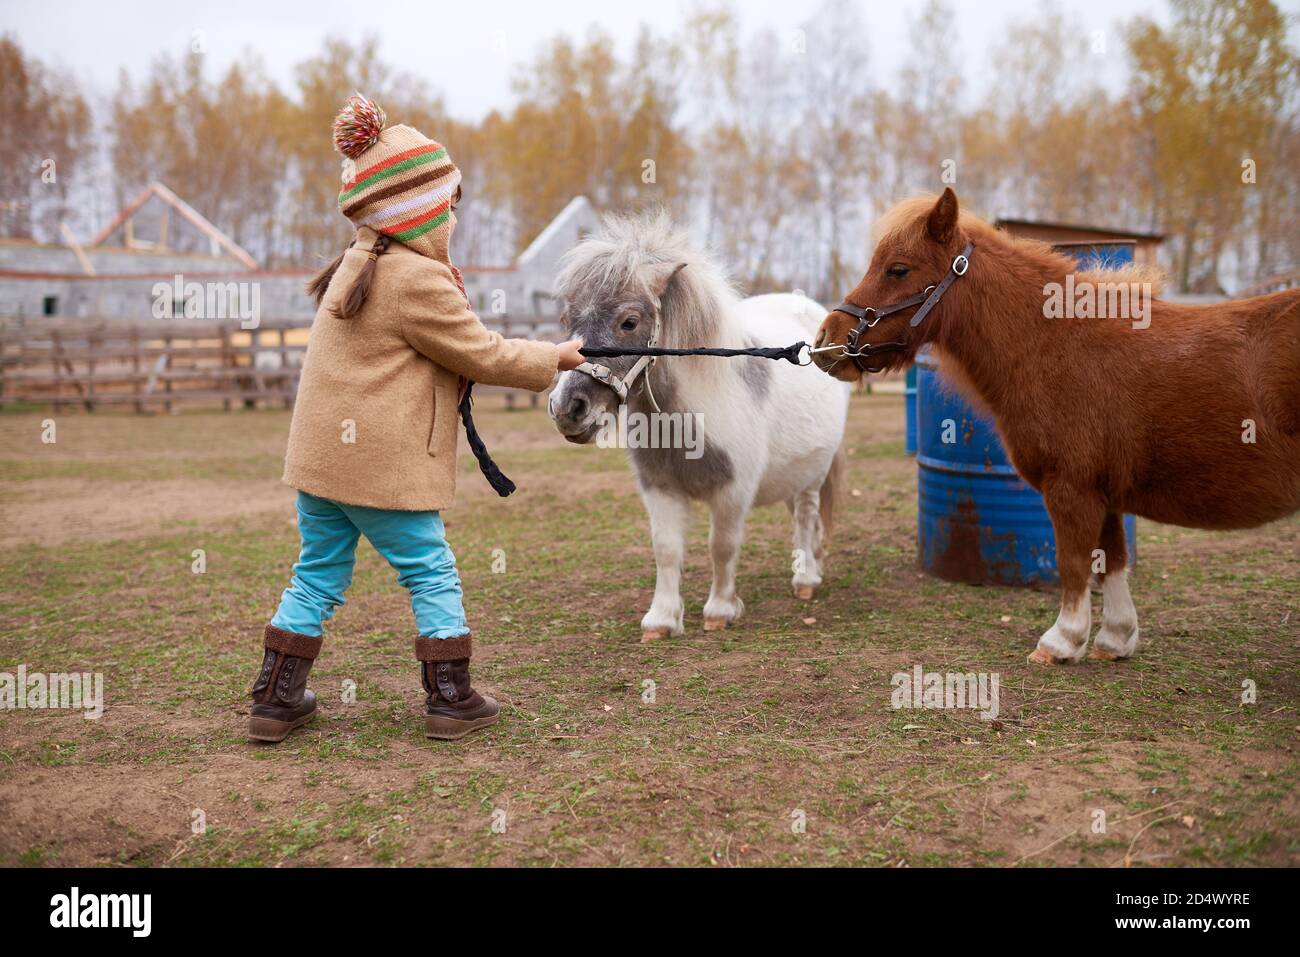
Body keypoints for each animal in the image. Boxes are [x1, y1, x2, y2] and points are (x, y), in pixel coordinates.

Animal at [549, 210, 850, 641]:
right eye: (566, 319)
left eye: (629, 322)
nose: (567, 409)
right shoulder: (660, 489)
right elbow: (666, 549)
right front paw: (661, 620)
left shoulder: (732, 491)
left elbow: (721, 545)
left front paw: (720, 611)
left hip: (815, 471)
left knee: (806, 515)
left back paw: (805, 579)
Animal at [812, 188, 1300, 665]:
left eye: (897, 269)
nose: (824, 340)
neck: (1056, 344)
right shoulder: (1104, 493)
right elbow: (1110, 558)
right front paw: (1114, 638)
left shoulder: (1072, 487)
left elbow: (1073, 560)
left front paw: (1063, 640)